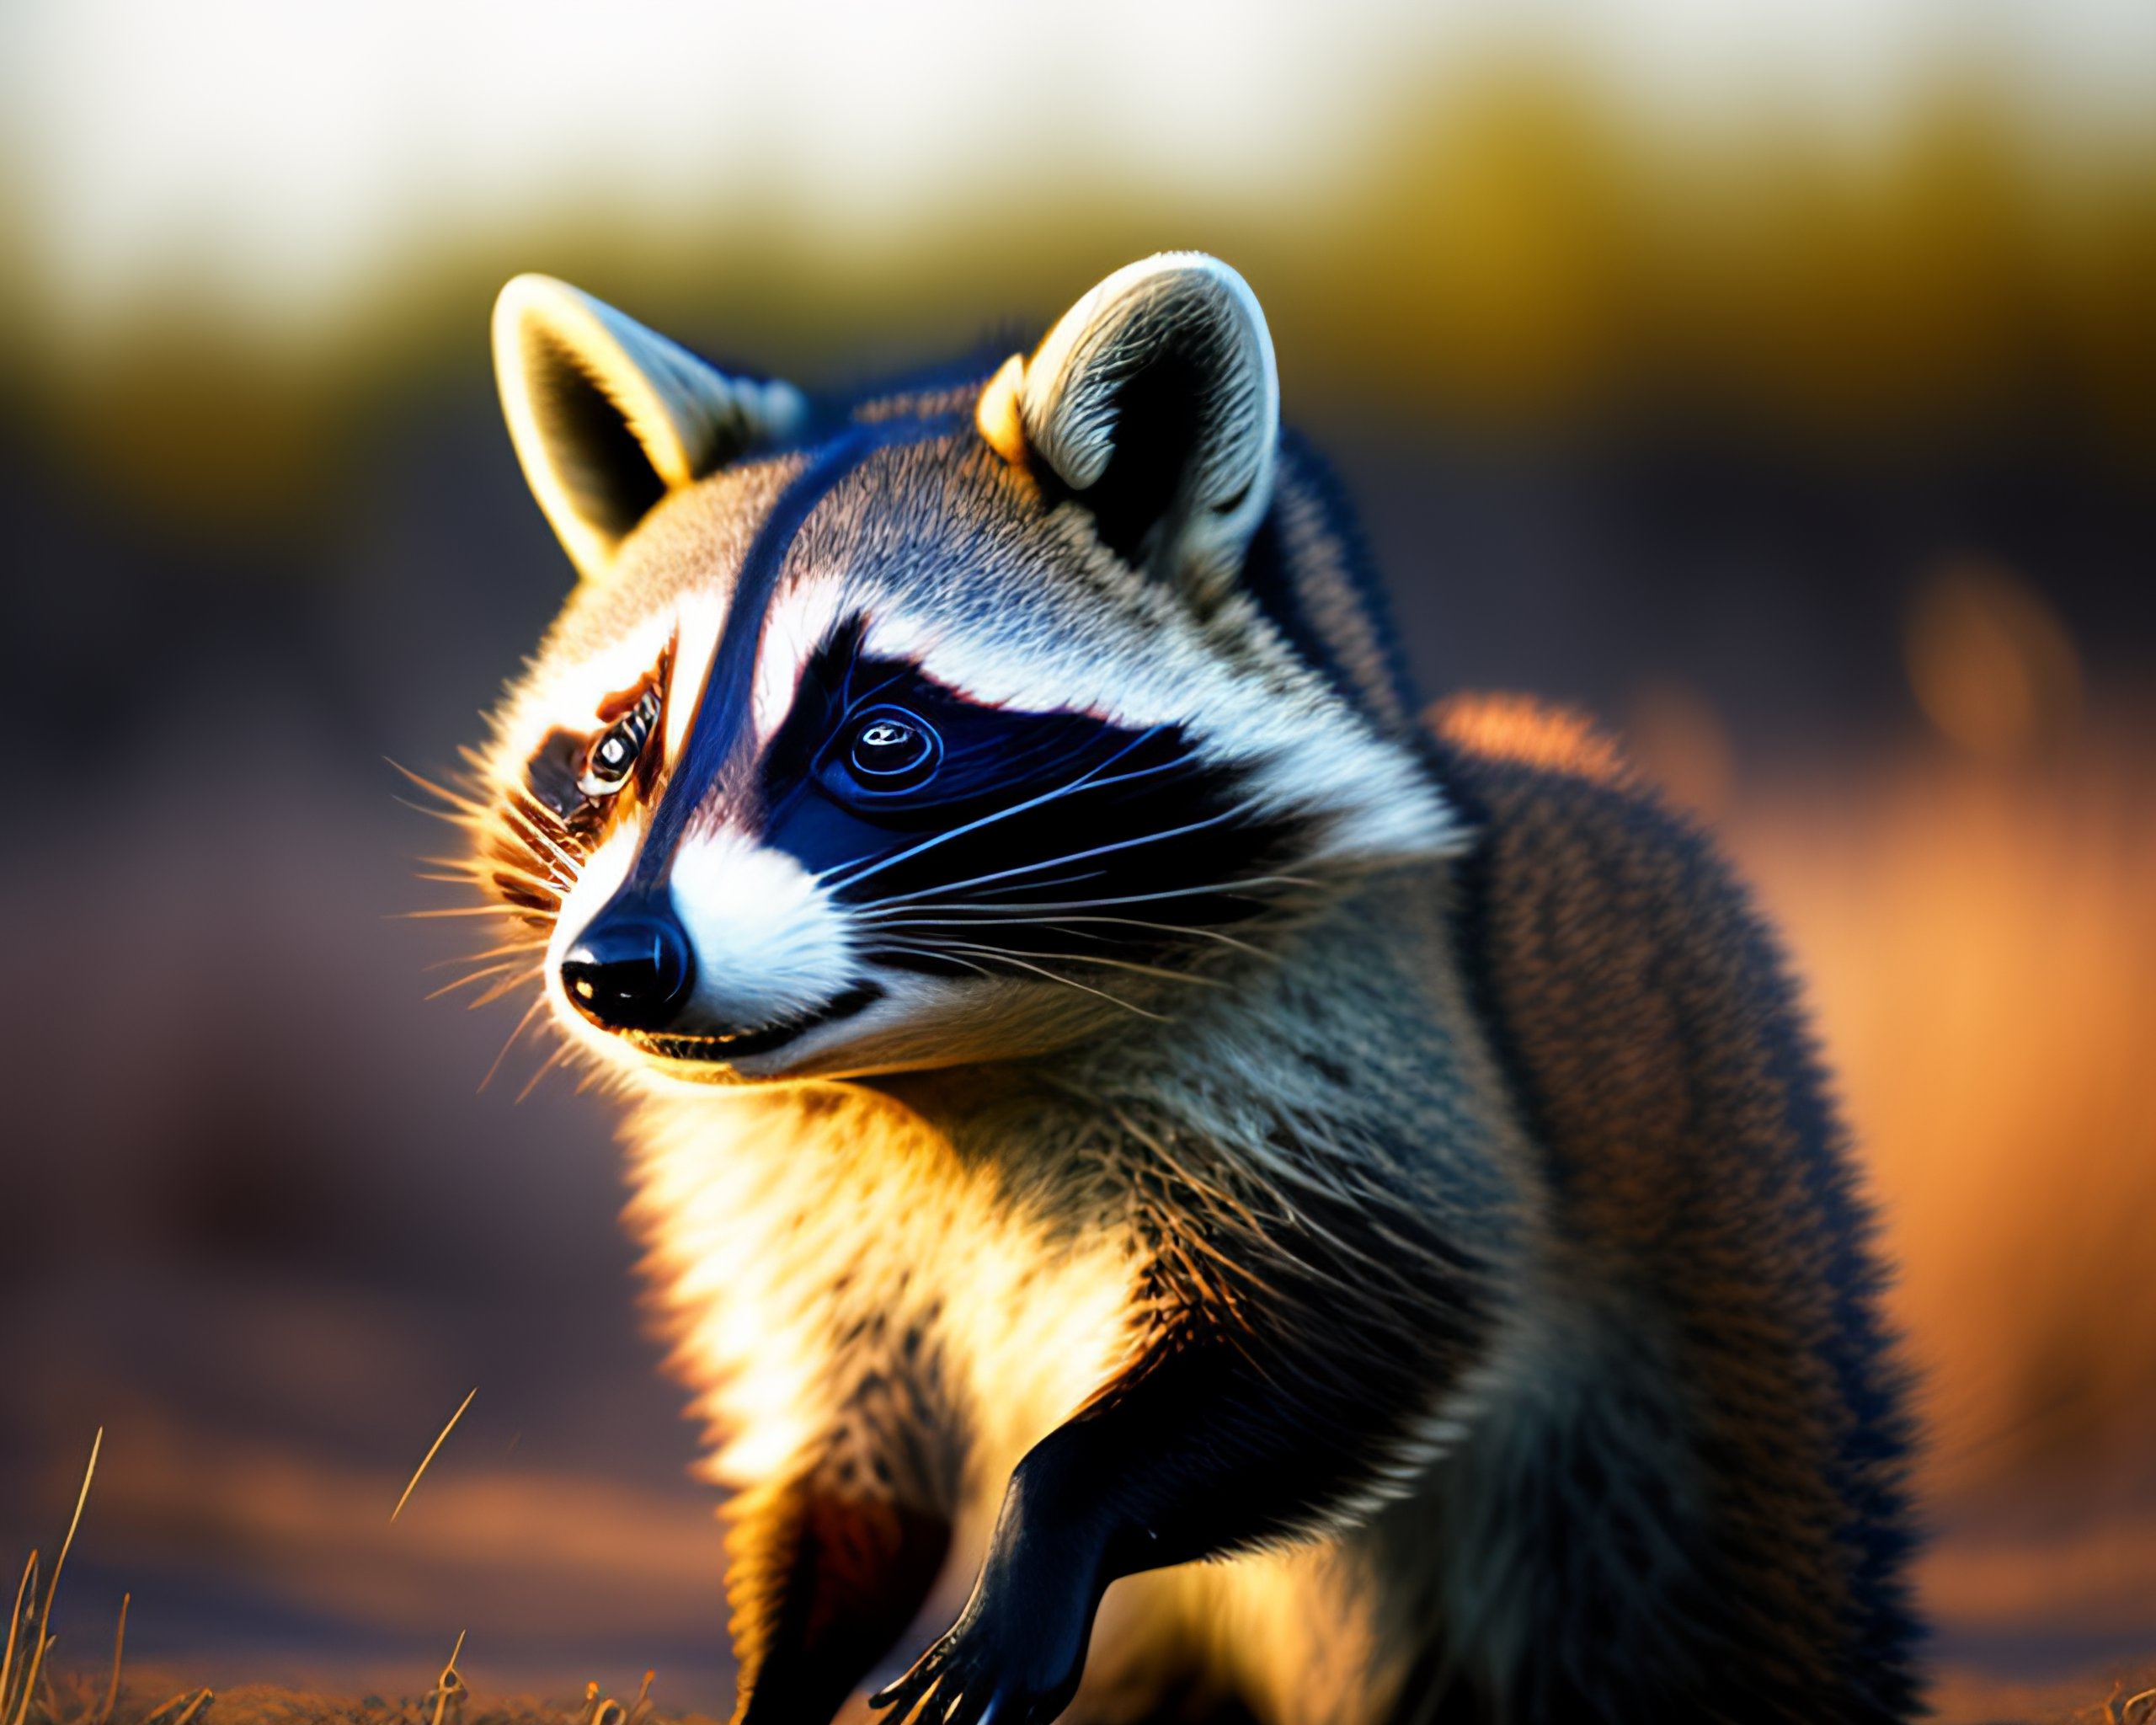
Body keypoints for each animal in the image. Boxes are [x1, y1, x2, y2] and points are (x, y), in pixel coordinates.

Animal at [436, 253, 1920, 1725]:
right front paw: (790, 1660)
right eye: (615, 751)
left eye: (884, 741)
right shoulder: (800, 1201)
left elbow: (1376, 1311)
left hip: (1698, 1410)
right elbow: (847, 1457)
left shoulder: (1348, 1043)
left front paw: (1052, 1525)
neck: (939, 1063)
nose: (618, 968)